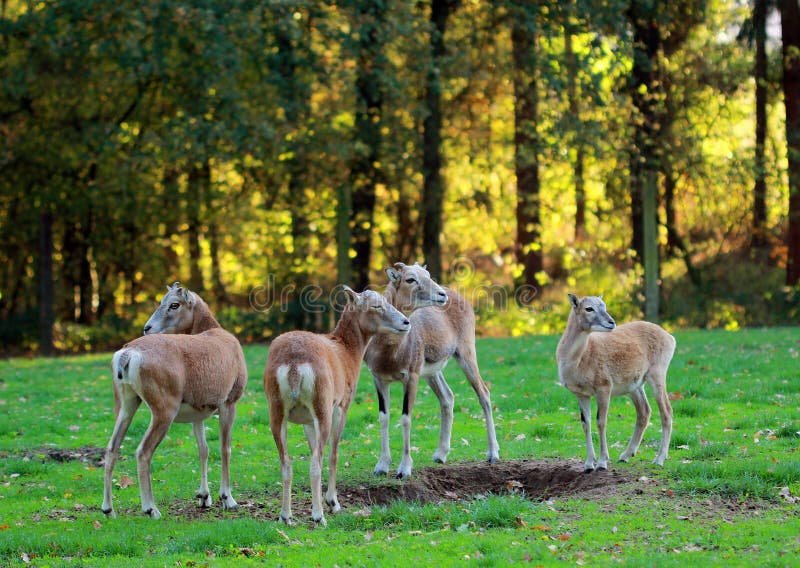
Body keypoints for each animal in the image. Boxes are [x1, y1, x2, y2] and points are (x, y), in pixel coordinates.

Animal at [101, 282, 247, 519]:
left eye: (174, 304)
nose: (147, 327)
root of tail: (127, 354)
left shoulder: (198, 414)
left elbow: (203, 449)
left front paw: (204, 498)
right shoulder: (230, 401)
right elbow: (225, 448)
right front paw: (228, 499)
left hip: (125, 401)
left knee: (111, 448)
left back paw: (108, 510)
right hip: (164, 408)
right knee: (143, 451)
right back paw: (151, 509)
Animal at [264, 287, 410, 526]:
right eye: (376, 305)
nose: (406, 322)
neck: (348, 355)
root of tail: (294, 365)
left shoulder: (307, 420)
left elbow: (315, 449)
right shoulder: (342, 404)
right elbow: (333, 453)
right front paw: (333, 503)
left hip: (276, 410)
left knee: (287, 463)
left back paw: (285, 516)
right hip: (322, 405)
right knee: (315, 462)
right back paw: (318, 516)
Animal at [364, 262, 500, 479]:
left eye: (427, 274)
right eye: (410, 279)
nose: (441, 294)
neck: (389, 351)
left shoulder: (411, 377)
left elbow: (406, 418)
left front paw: (404, 470)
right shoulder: (379, 379)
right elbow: (384, 418)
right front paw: (381, 467)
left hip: (466, 356)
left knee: (483, 394)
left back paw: (493, 454)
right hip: (433, 374)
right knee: (448, 397)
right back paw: (440, 455)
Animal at [556, 294, 675, 471]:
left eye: (604, 306)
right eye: (589, 308)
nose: (611, 322)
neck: (578, 361)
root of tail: (670, 338)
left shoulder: (604, 386)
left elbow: (601, 421)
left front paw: (602, 463)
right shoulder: (581, 393)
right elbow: (586, 423)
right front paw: (588, 464)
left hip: (658, 373)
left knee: (666, 411)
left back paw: (659, 459)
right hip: (635, 385)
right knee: (644, 411)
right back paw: (625, 456)